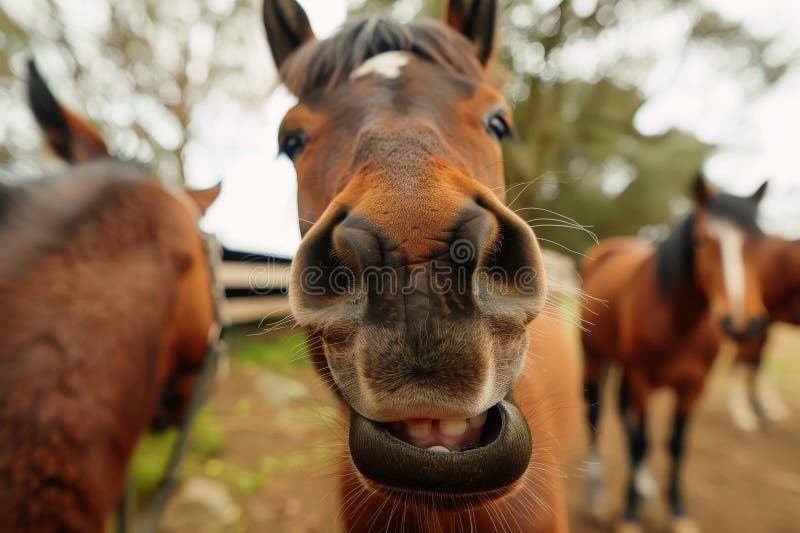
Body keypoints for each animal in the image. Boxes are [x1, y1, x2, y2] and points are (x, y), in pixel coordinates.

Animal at [580, 175, 770, 533]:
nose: (742, 322)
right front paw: (629, 516)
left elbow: (676, 446)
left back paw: (643, 485)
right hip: (594, 359)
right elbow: (642, 442)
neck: (677, 324)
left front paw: (678, 512)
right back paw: (598, 497)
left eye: (760, 241)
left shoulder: (693, 387)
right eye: (700, 240)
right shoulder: (642, 381)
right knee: (596, 416)